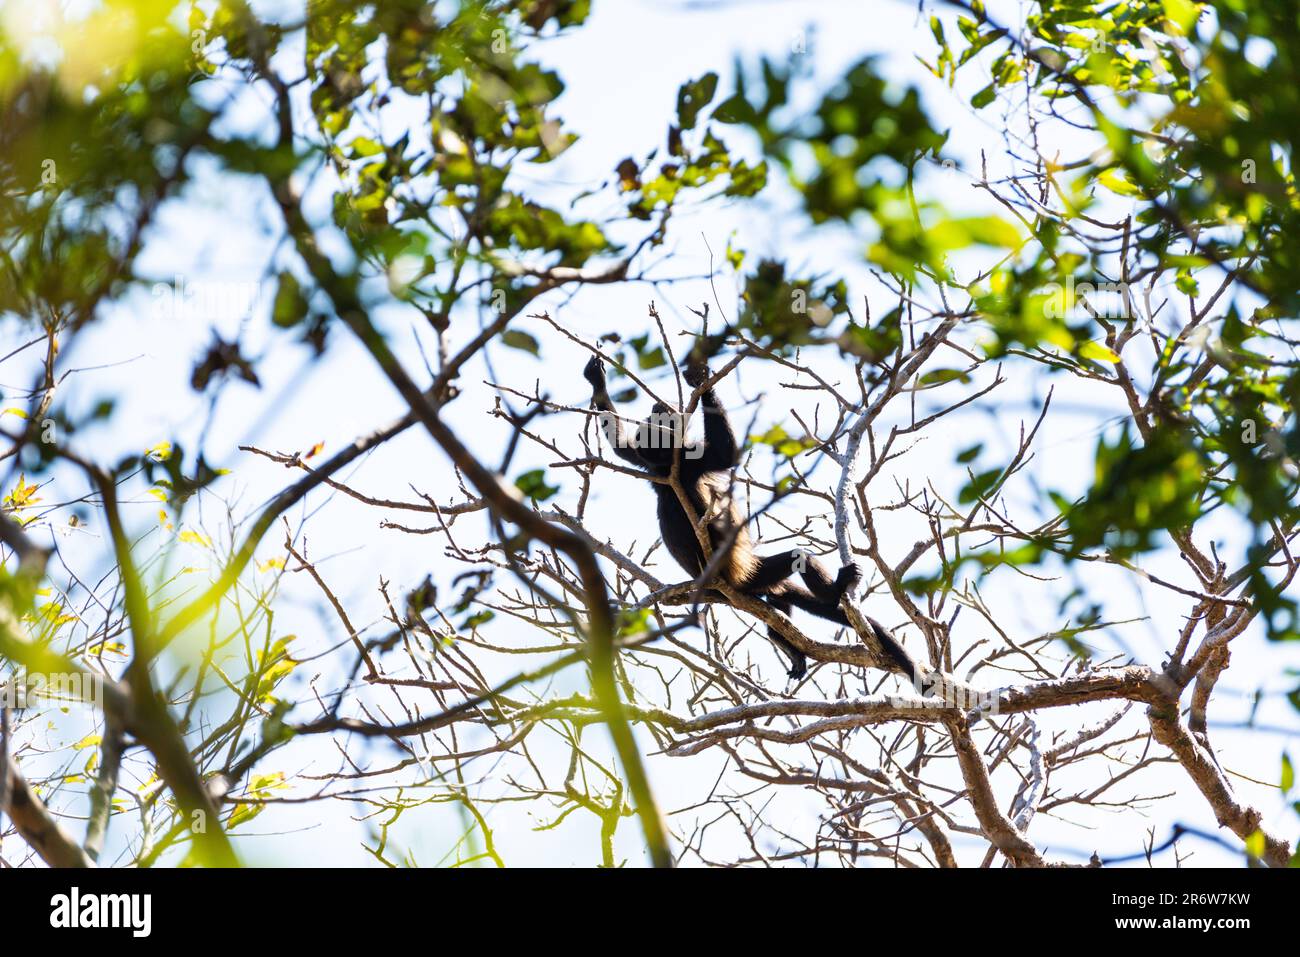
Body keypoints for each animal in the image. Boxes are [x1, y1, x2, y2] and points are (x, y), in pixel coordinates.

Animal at [582, 353, 917, 681]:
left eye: (658, 418)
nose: (658, 408)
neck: (668, 468)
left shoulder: (653, 467)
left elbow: (622, 448)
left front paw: (597, 381)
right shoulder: (692, 462)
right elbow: (727, 454)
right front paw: (702, 381)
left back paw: (784, 640)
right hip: (752, 574)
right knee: (799, 558)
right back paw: (835, 590)